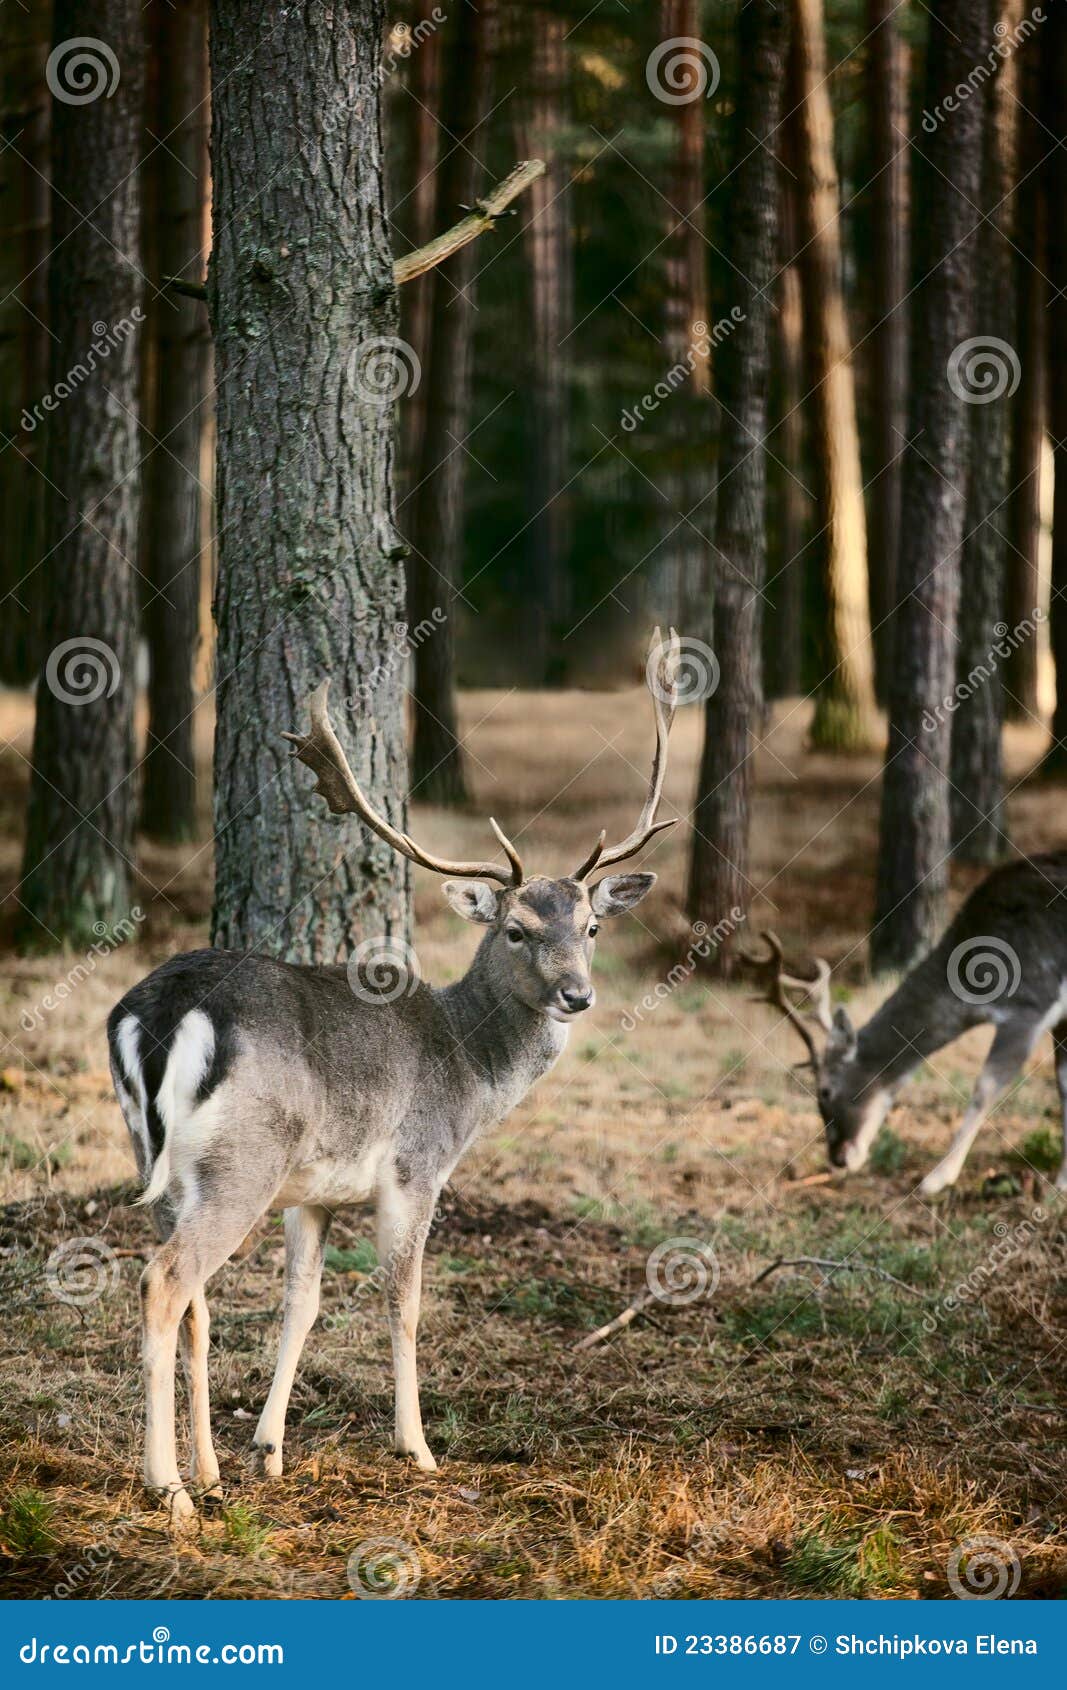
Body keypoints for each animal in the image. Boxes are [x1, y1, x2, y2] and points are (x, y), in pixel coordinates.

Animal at [106, 632, 680, 1521]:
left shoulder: (312, 1193)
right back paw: (168, 1487)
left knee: (194, 1299)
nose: (577, 995)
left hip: (161, 1156)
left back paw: (204, 1470)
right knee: (165, 1281)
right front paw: (419, 1448)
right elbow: (404, 1303)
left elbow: (301, 1304)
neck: (472, 1070)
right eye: (515, 930)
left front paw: (268, 1449)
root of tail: (161, 1012)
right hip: (245, 1156)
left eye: (590, 927)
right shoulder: (416, 1165)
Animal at [746, 852, 1067, 1198]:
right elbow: (1062, 1085)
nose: (838, 1158)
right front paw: (1062, 1181)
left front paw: (935, 1179)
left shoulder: (1031, 1003)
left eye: (824, 1091)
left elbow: (985, 1086)